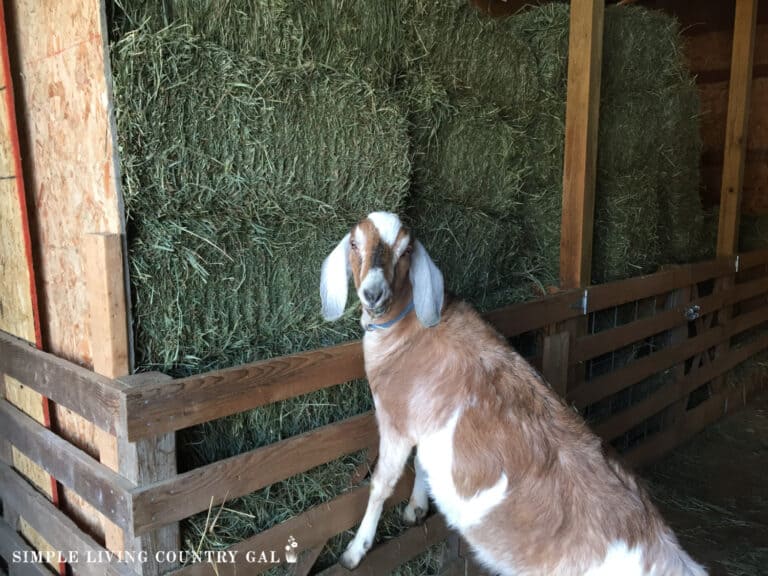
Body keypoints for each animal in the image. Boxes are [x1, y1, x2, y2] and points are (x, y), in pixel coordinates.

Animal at [320, 211, 707, 576]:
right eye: (354, 244)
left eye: (405, 251)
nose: (373, 294)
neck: (410, 330)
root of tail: (660, 545)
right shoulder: (424, 420)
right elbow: (421, 463)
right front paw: (417, 507)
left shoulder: (396, 421)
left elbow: (381, 485)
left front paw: (355, 552)